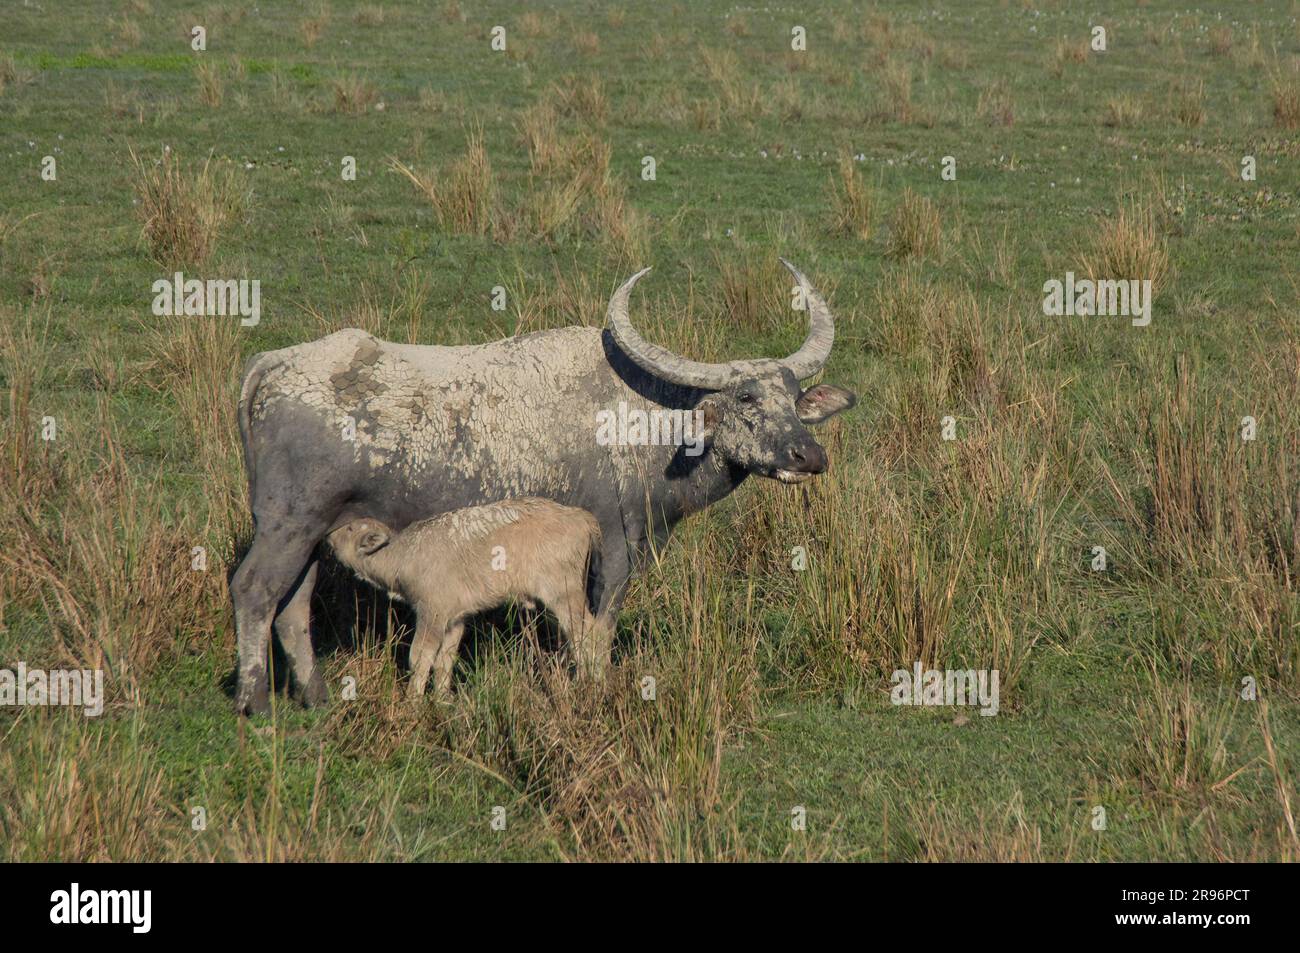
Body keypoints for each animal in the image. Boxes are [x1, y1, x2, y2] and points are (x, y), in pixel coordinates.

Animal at [231, 260, 856, 714]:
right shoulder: (614, 550)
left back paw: (313, 697)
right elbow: (598, 631)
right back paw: (255, 700)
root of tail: (270, 365)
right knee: (255, 591)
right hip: (287, 525)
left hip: (314, 534)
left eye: (794, 397)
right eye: (747, 398)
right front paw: (595, 689)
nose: (809, 456)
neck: (646, 423)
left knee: (293, 605)